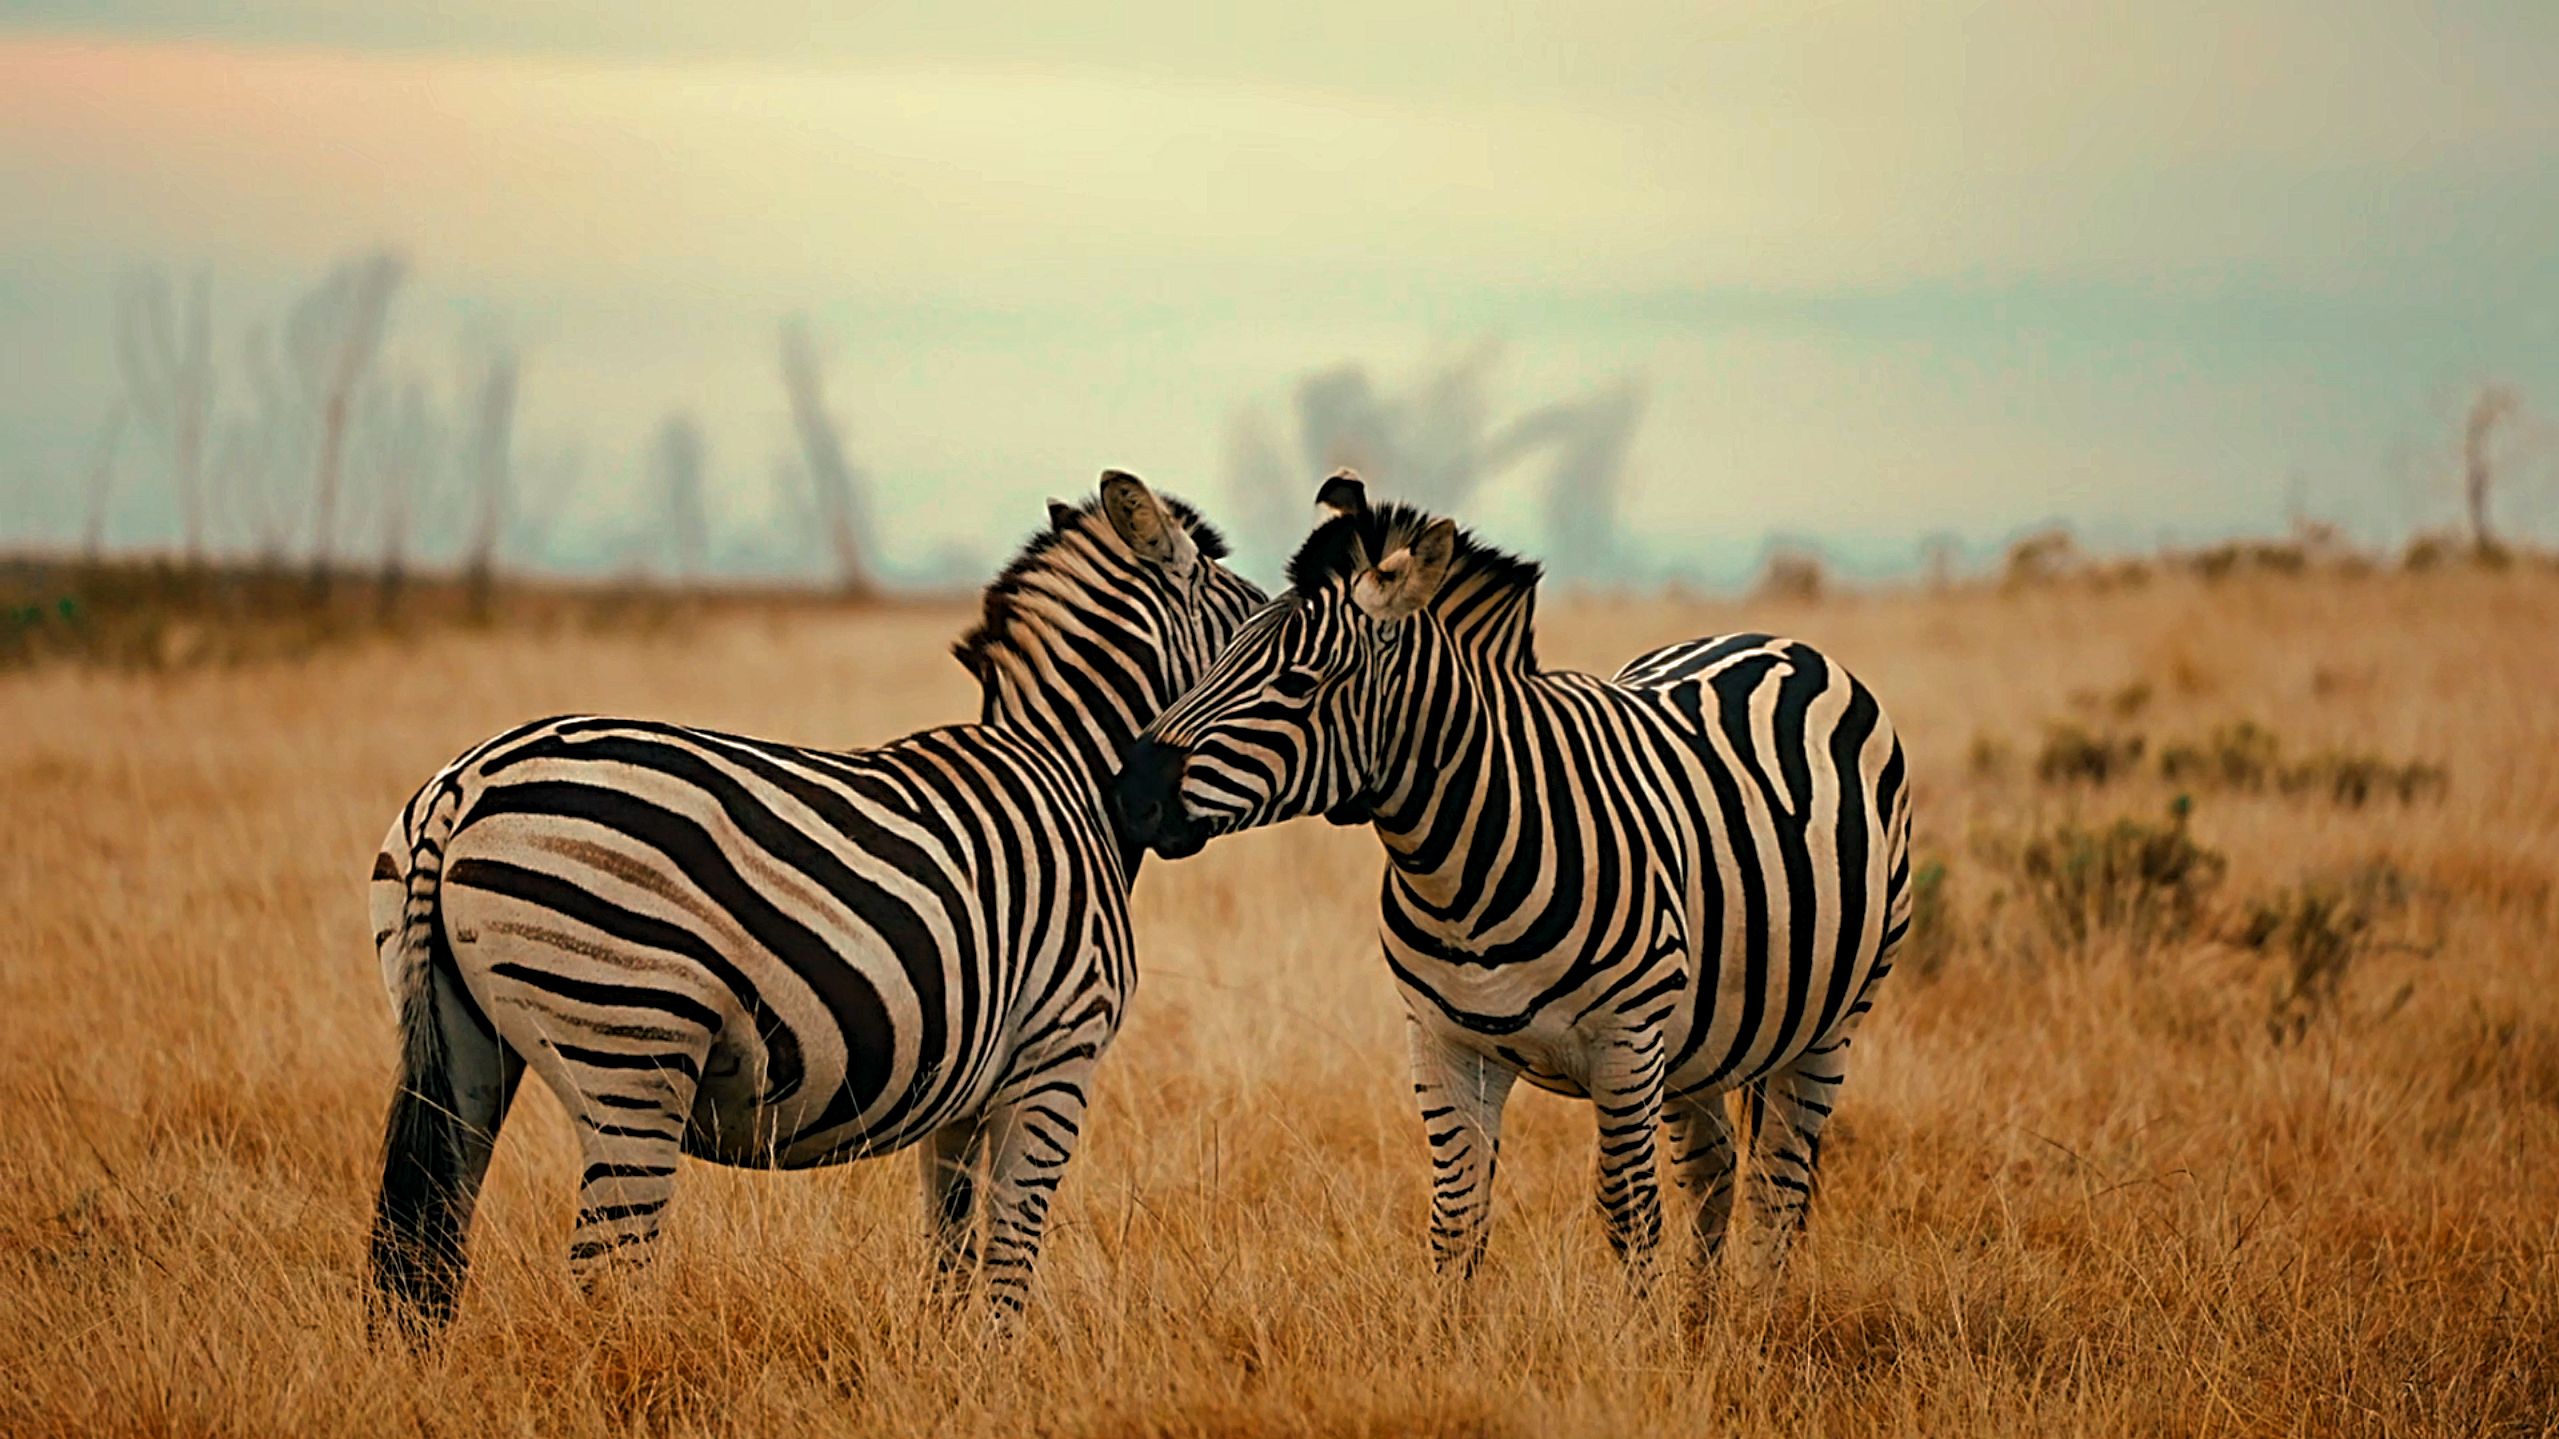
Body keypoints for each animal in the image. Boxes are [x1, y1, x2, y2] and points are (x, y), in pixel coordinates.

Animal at [367, 472, 1267, 1334]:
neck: (1068, 775)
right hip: (632, 1047)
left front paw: (950, 1367)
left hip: (464, 1044)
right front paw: (1000, 1364)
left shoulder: (964, 1093)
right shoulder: (1056, 1058)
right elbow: (1010, 1255)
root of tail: (465, 783)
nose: (1161, 815)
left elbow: (950, 1252)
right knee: (604, 1269)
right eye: (1260, 629)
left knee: (424, 1255)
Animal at [1114, 474, 1910, 1289]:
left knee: (1776, 1186)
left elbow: (1628, 1215)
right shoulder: (1443, 1044)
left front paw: (1640, 1331)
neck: (1460, 872)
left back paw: (1751, 1312)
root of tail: (1771, 640)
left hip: (1831, 1024)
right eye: (1218, 653)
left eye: (1297, 681)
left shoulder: (1626, 1045)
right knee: (1713, 1172)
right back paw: (1703, 1315)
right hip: (1704, 1043)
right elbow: (1455, 1222)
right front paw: (1449, 1326)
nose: (1127, 792)